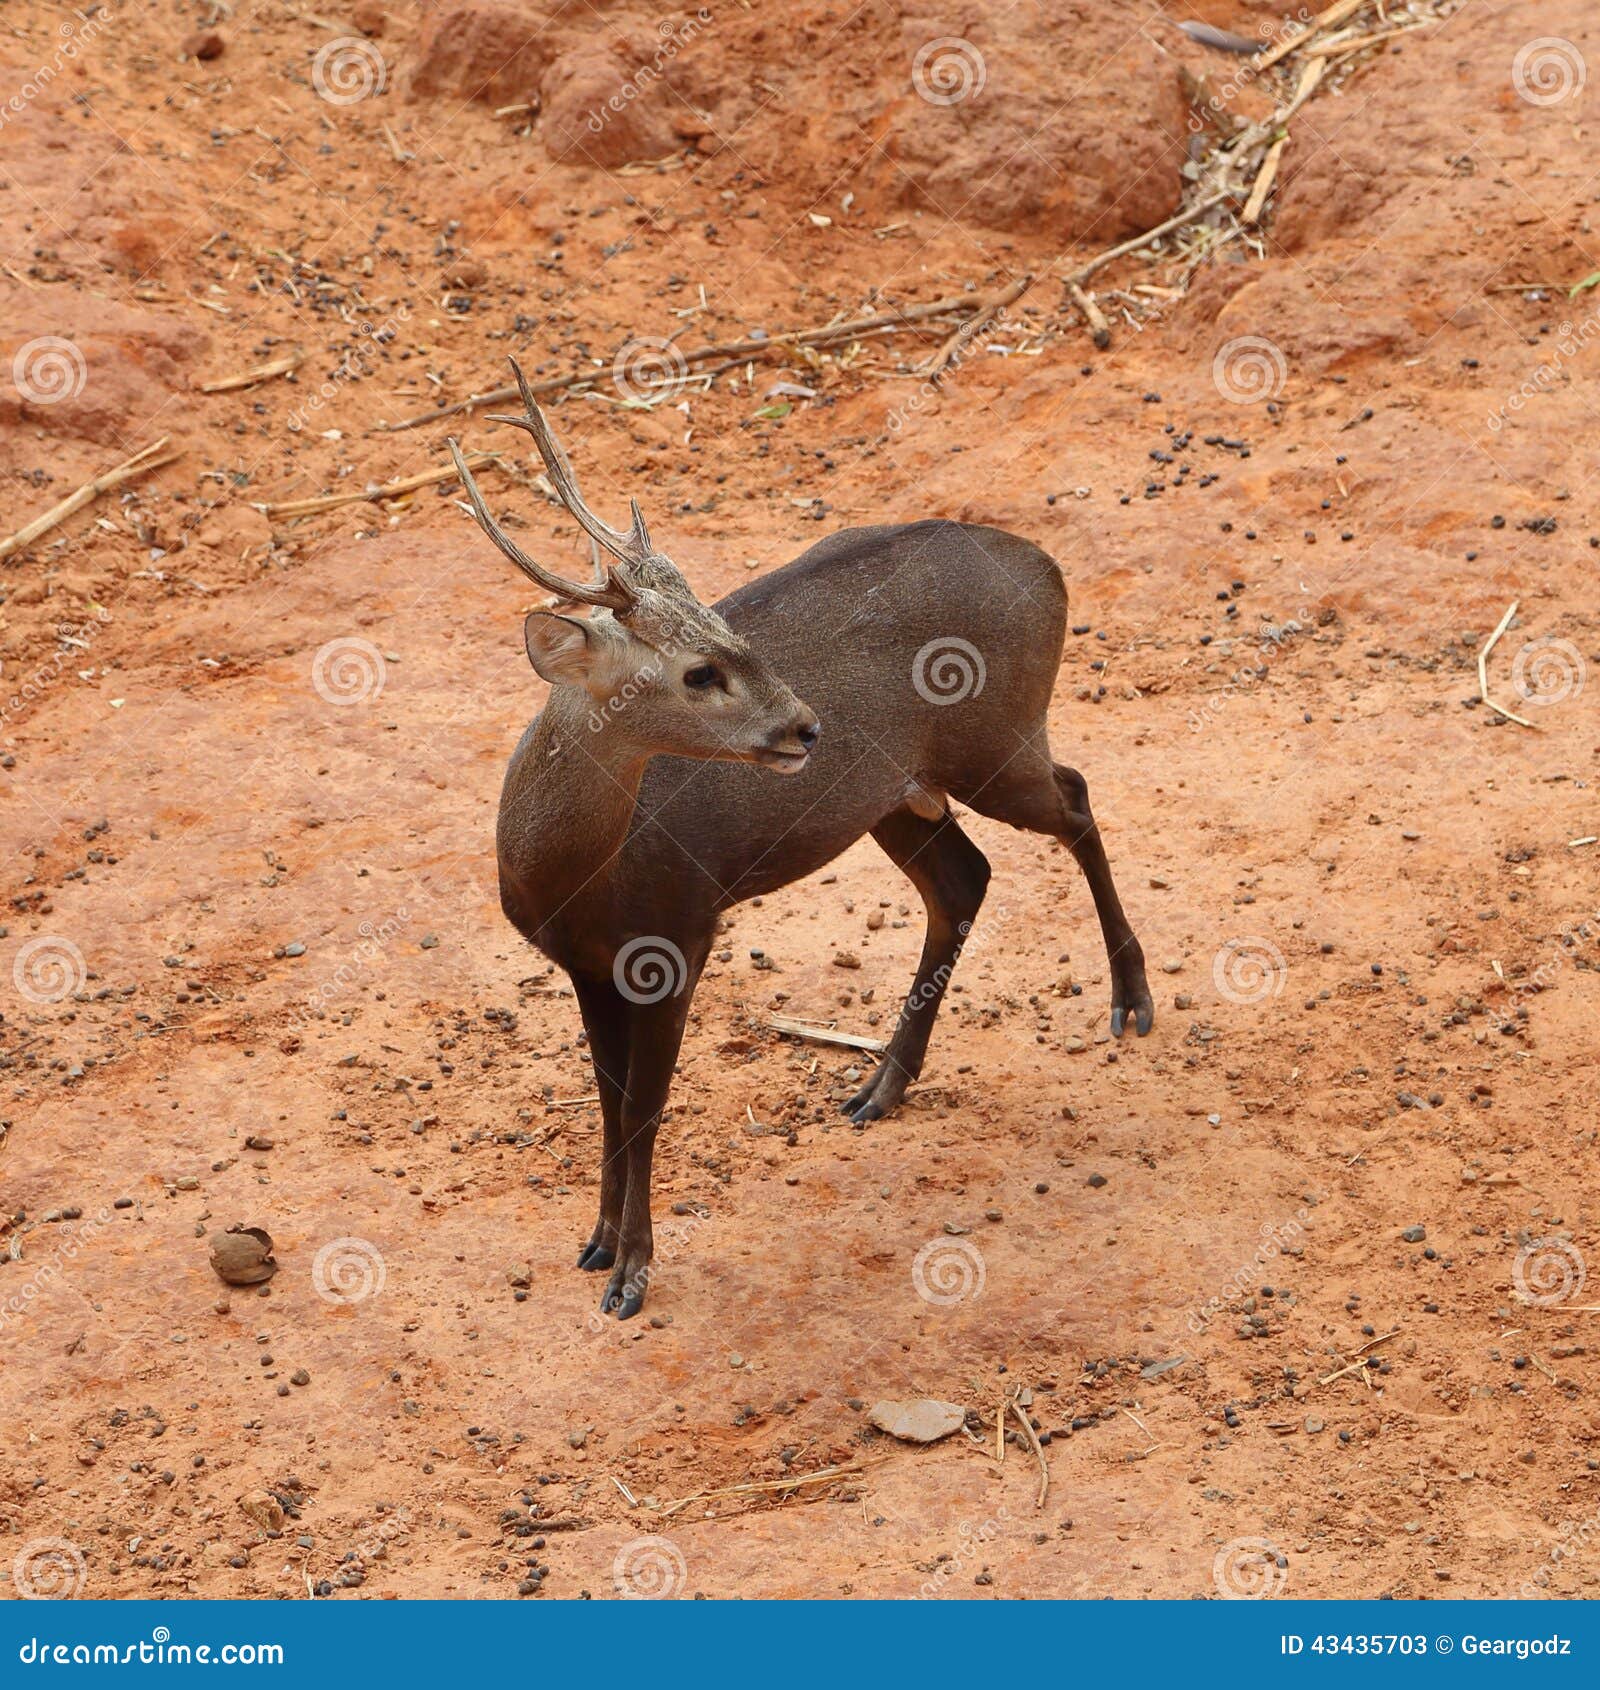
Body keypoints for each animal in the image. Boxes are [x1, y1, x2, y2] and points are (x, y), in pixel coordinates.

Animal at [447, 360, 1153, 1320]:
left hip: (996, 742)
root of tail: (1048, 568)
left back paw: (1131, 1000)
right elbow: (609, 1102)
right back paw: (879, 1087)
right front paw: (595, 1244)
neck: (576, 876)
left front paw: (632, 1273)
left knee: (1075, 802)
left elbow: (645, 1109)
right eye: (699, 669)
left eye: (732, 631)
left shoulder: (679, 933)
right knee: (966, 877)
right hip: (890, 796)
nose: (806, 726)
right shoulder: (583, 963)